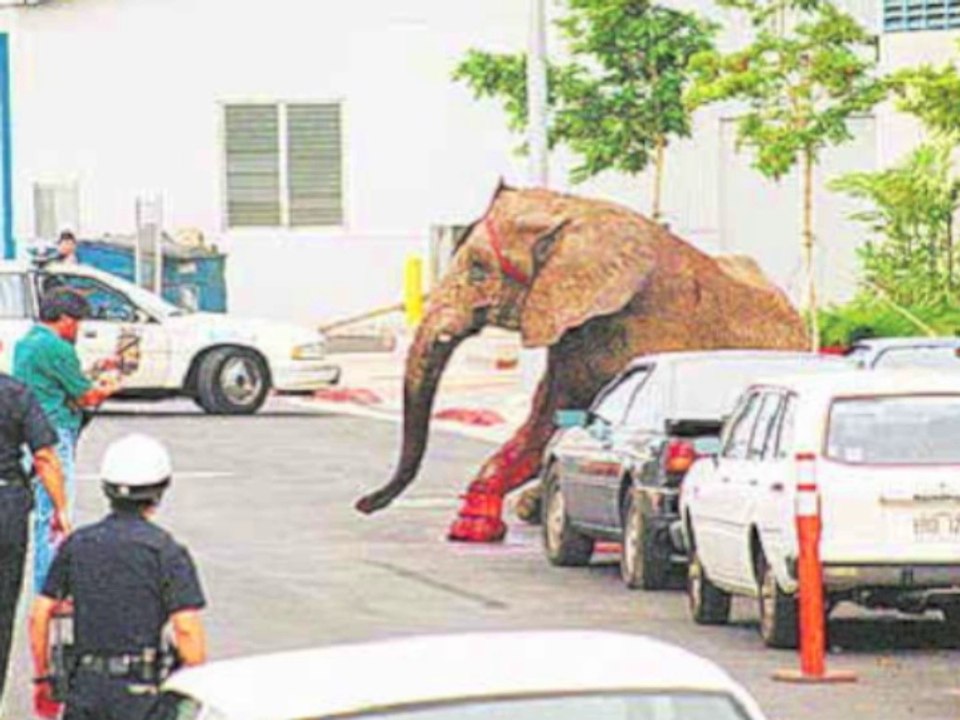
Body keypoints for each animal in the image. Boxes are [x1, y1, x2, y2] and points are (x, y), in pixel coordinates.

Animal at [355, 184, 808, 542]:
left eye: (479, 270)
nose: (363, 504)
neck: (574, 209)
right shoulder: (570, 331)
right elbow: (545, 422)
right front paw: (473, 527)